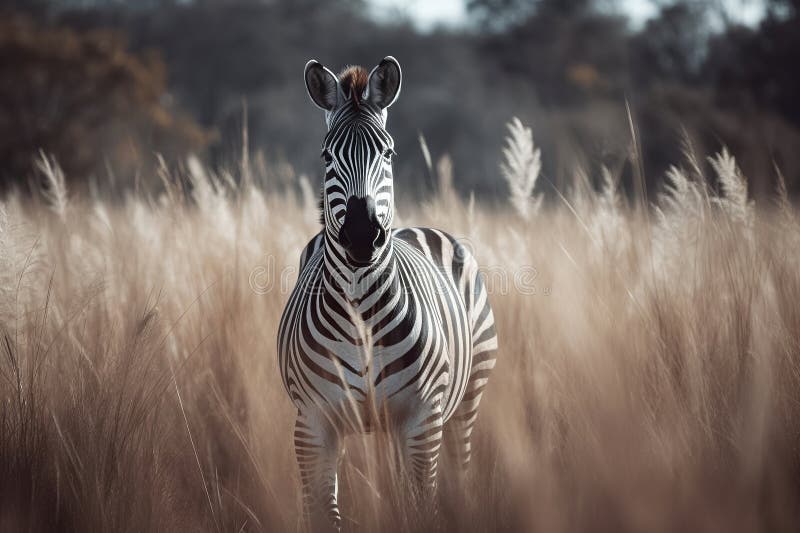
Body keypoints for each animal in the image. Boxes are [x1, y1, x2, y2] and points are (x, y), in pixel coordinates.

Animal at [277, 56, 497, 531]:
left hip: (463, 402)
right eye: (326, 155)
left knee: (457, 476)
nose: (363, 237)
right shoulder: (314, 423)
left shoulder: (420, 420)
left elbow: (421, 511)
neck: (361, 311)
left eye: (388, 153)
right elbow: (322, 514)